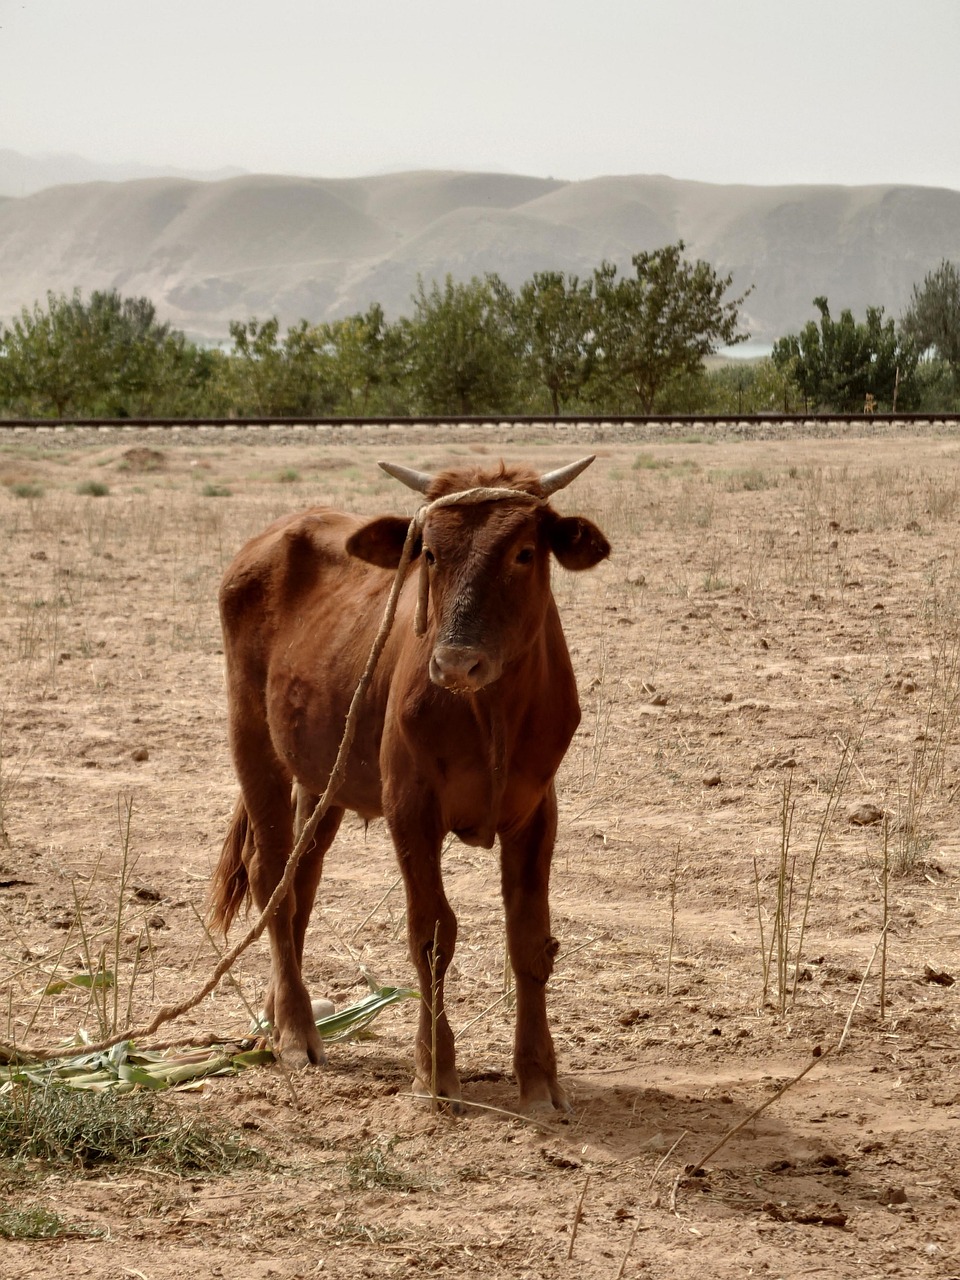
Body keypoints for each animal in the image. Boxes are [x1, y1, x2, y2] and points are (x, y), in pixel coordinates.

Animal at [209, 457, 610, 1112]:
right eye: (429, 554)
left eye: (524, 552)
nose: (454, 663)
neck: (490, 709)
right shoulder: (410, 806)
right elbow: (432, 932)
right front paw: (434, 1070)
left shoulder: (536, 810)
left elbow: (529, 938)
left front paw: (539, 1079)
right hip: (253, 737)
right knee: (272, 873)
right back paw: (294, 1032)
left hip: (322, 774)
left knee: (302, 876)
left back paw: (276, 1013)